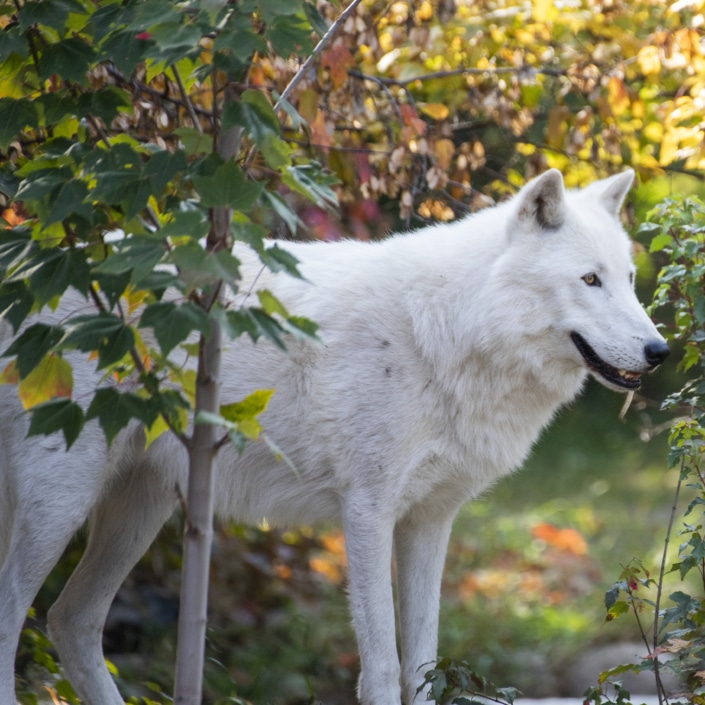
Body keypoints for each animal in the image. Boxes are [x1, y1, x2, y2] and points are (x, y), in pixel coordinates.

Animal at [0, 169, 668, 705]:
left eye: (631, 279)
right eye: (590, 280)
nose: (660, 351)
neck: (447, 332)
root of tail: (23, 265)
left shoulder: (429, 521)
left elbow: (422, 667)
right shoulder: (367, 511)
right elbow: (382, 669)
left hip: (142, 506)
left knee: (70, 621)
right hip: (62, 502)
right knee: (15, 622)